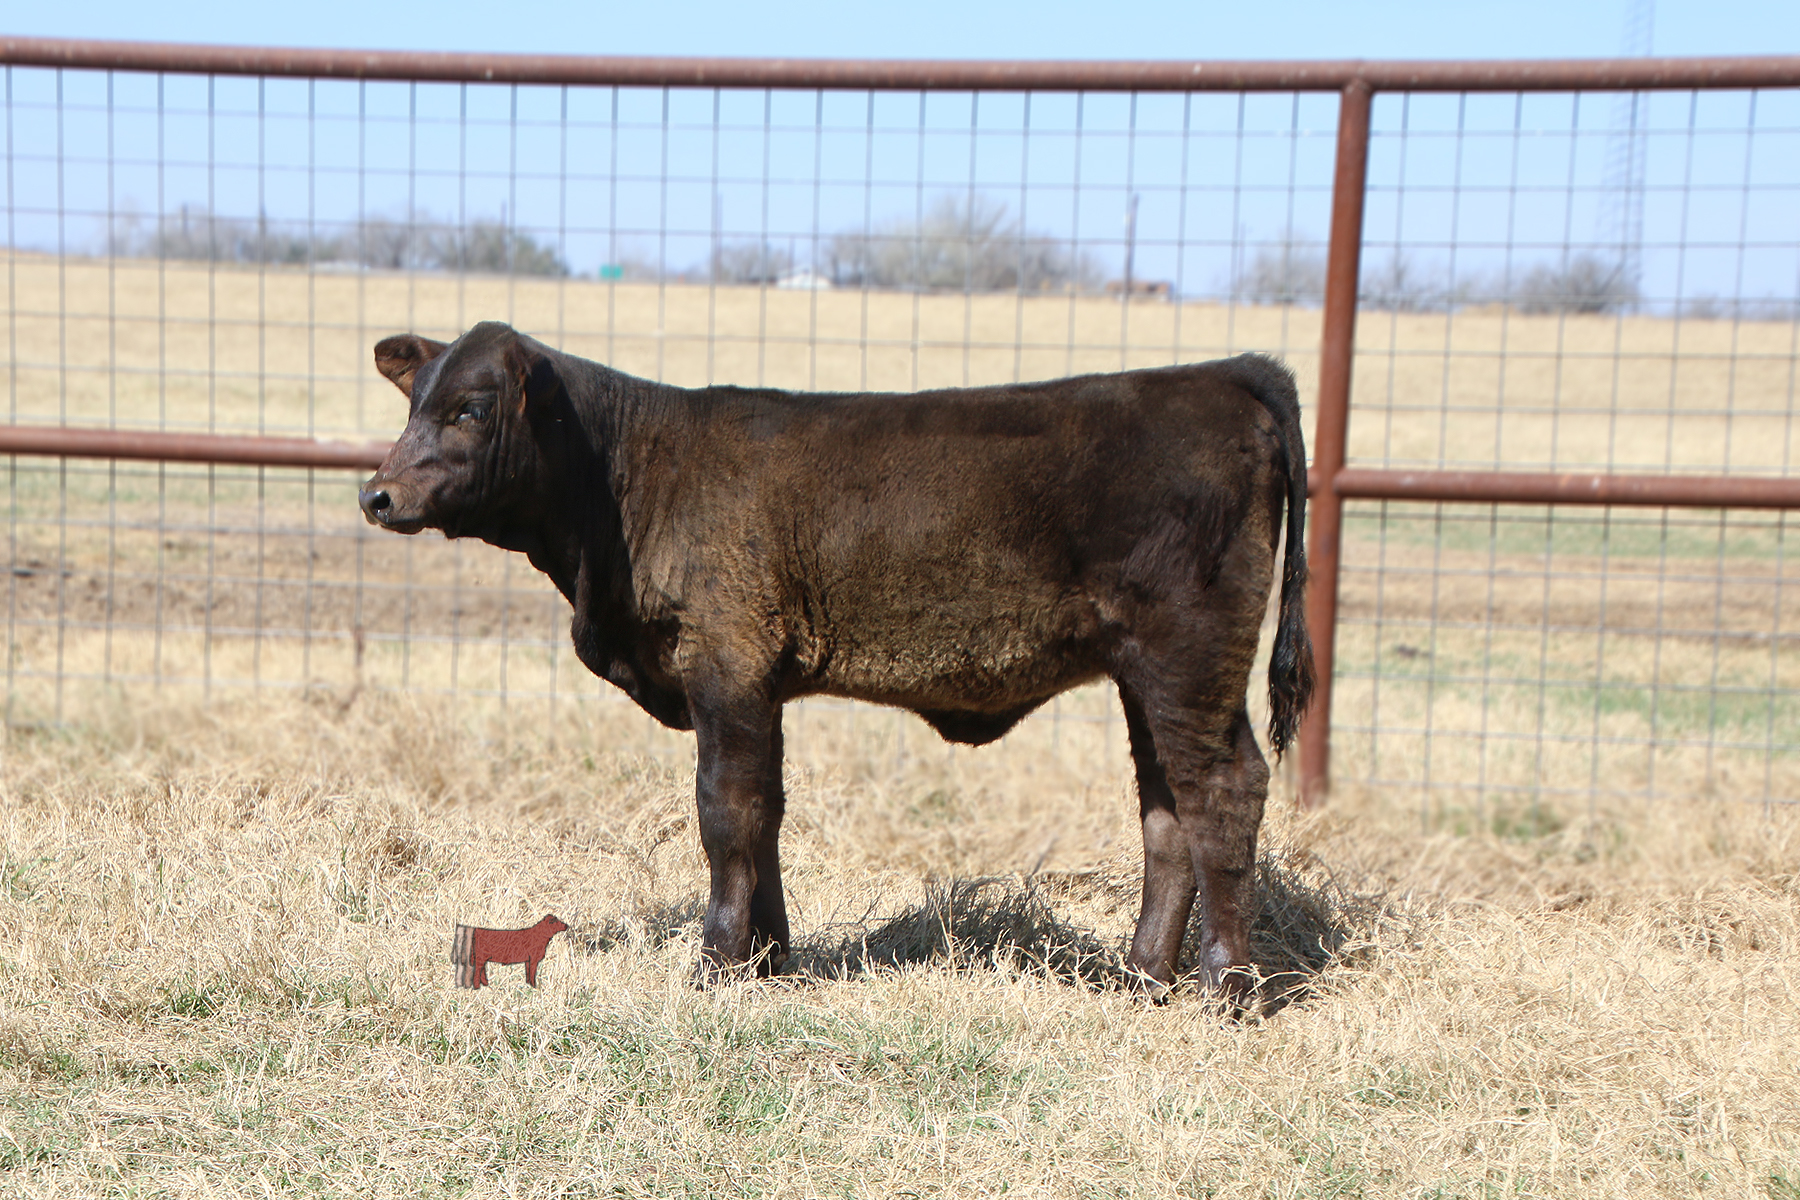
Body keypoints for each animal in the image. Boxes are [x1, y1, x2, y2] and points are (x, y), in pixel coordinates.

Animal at [360, 321, 1314, 1005]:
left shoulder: (728, 661)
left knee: (1221, 793)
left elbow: (727, 812)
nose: (377, 494)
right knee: (1166, 811)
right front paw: (769, 958)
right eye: (413, 405)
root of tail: (1222, 374)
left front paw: (717, 963)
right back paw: (1142, 976)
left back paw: (1228, 987)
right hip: (1146, 676)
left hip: (1189, 658)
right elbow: (767, 815)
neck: (624, 487)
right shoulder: (759, 683)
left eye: (471, 409)